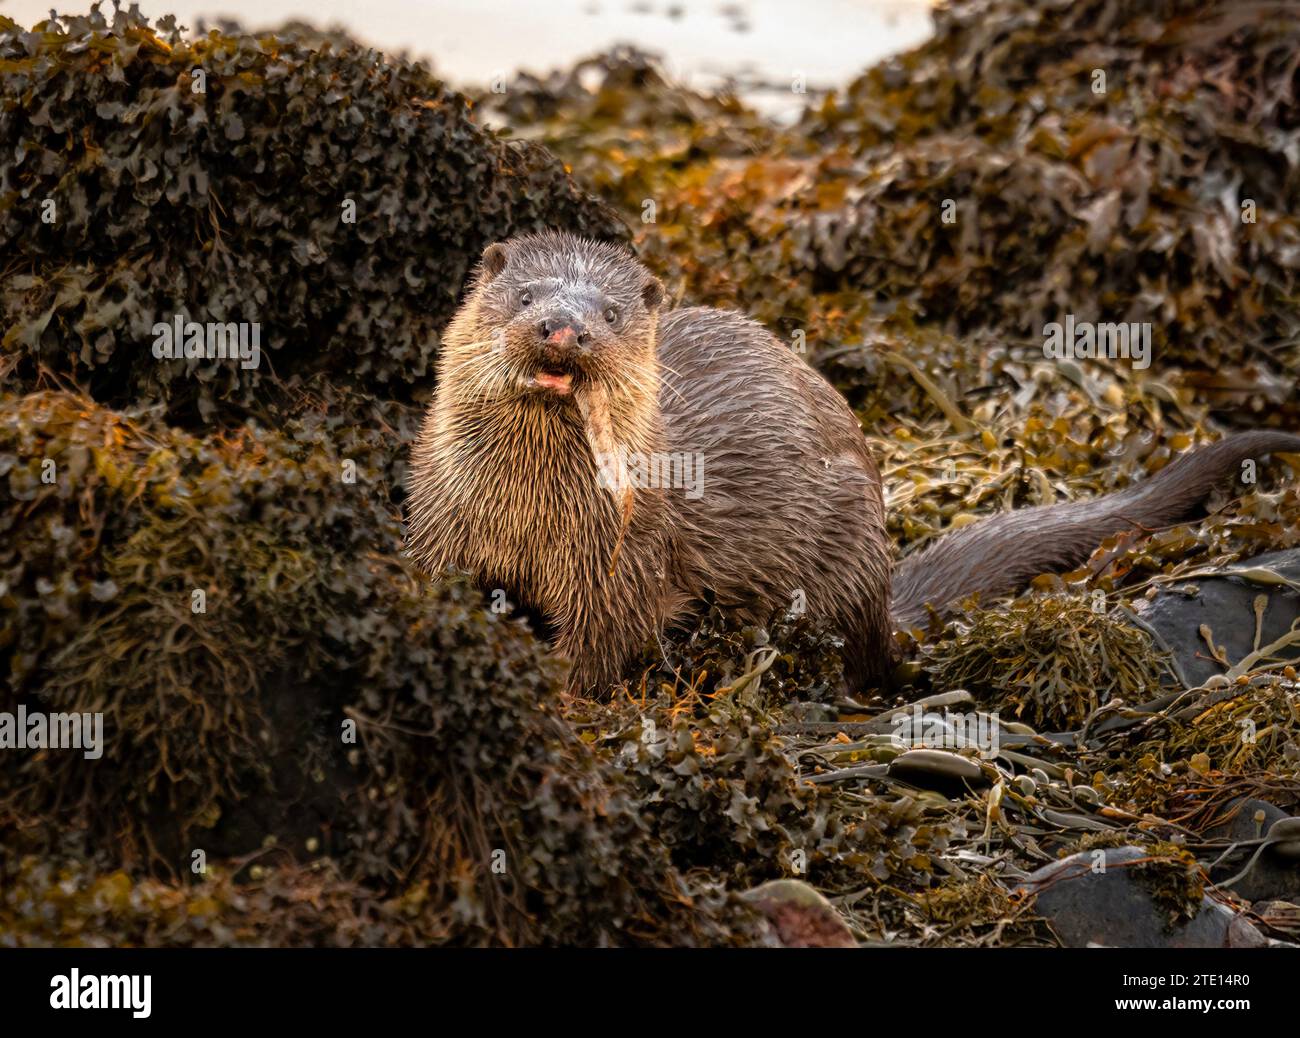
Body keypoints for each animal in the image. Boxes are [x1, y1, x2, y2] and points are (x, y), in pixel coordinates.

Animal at [406, 230, 1300, 693]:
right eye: (527, 296)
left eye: (615, 313)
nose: (566, 327)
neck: (526, 515)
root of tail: (882, 581)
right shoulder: (440, 521)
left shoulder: (623, 560)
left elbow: (599, 643)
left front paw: (555, 690)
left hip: (839, 549)